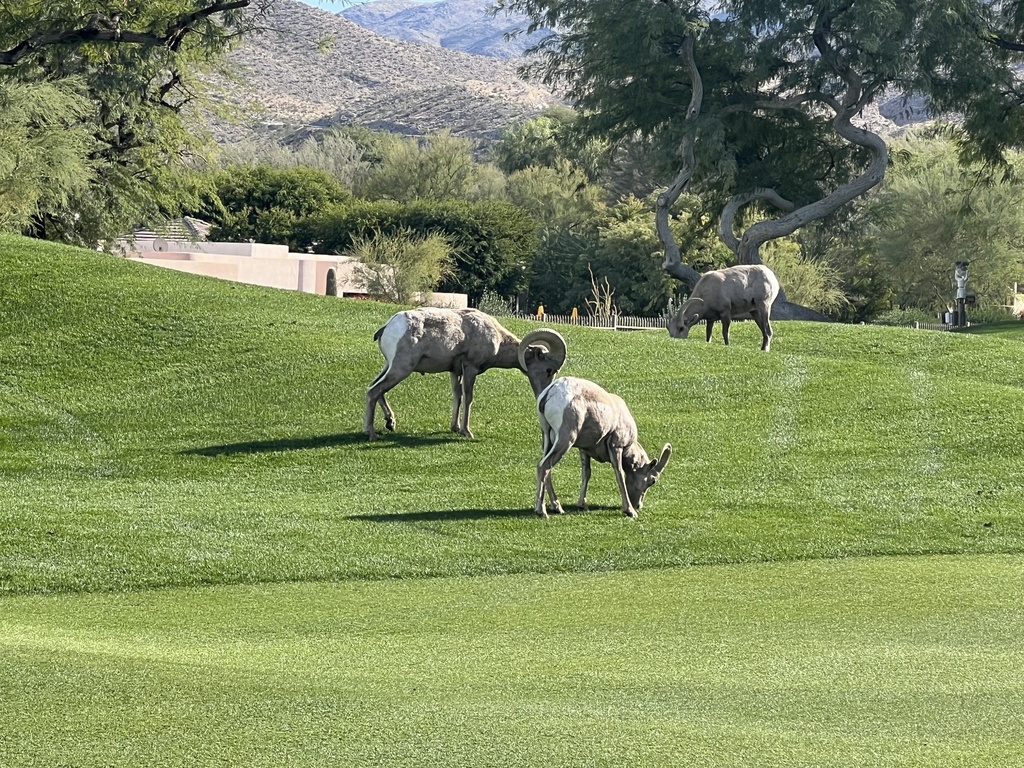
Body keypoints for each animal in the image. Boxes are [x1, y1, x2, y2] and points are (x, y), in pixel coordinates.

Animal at [364, 307, 566, 440]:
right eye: (549, 370)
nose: (543, 394)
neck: (498, 339)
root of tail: (389, 326)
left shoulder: (455, 372)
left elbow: (458, 396)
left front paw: (454, 427)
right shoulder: (470, 368)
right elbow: (468, 398)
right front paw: (467, 432)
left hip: (390, 366)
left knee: (374, 388)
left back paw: (390, 423)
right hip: (401, 368)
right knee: (374, 391)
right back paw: (371, 433)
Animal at [535, 376, 672, 519]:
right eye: (652, 481)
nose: (638, 506)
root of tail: (551, 391)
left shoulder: (584, 450)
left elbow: (586, 473)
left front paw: (582, 505)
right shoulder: (616, 446)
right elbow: (620, 474)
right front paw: (630, 511)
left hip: (548, 439)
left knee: (546, 467)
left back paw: (558, 508)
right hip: (565, 440)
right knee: (544, 466)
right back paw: (542, 511)